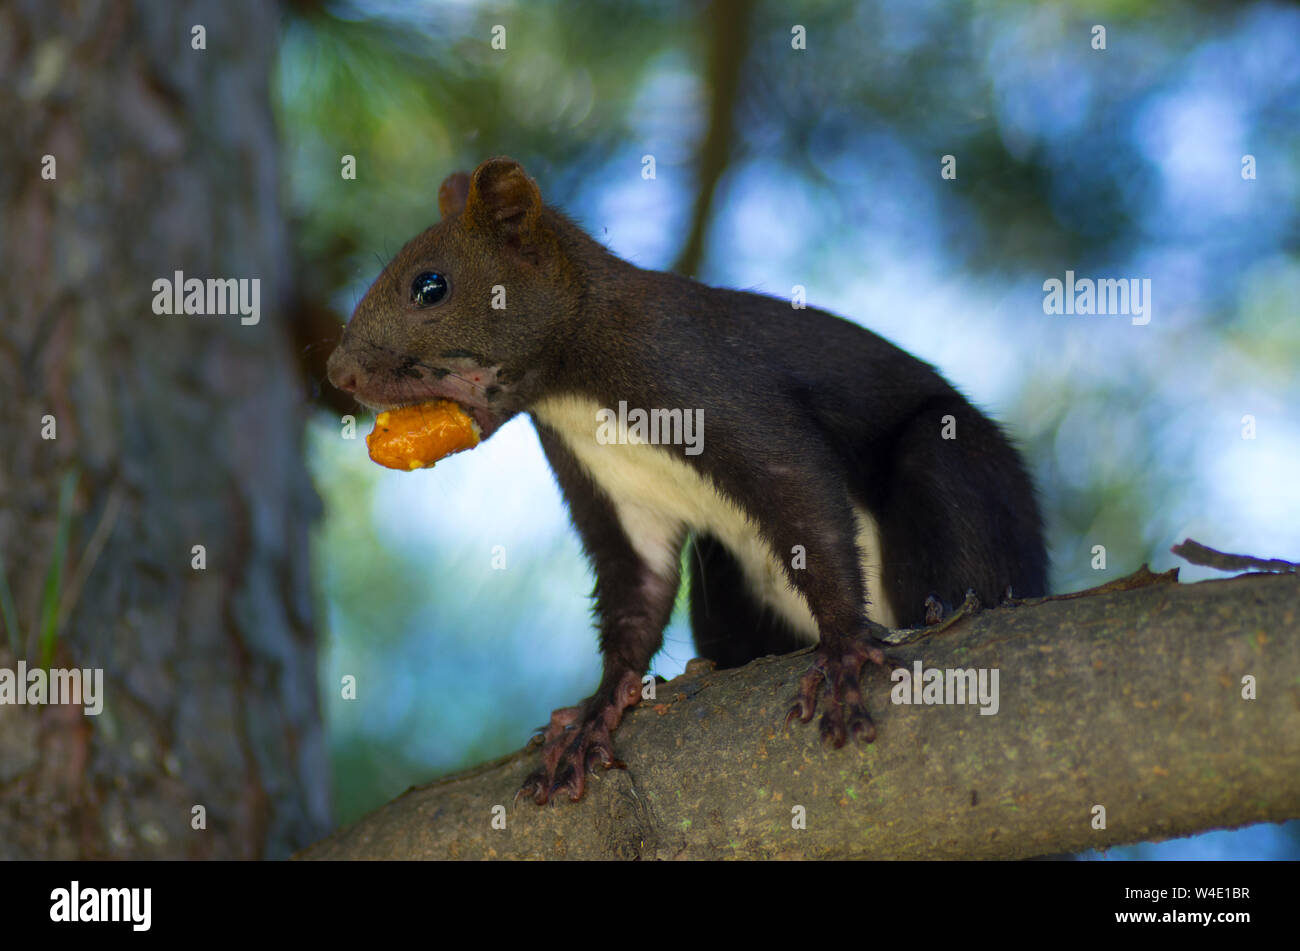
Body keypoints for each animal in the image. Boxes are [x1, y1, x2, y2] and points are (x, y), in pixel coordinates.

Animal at [326, 156, 1048, 804]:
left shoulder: (698, 376)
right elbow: (637, 588)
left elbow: (800, 488)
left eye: (430, 287)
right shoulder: (608, 484)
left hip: (954, 465)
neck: (570, 384)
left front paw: (845, 649)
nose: (338, 372)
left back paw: (949, 608)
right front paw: (596, 710)